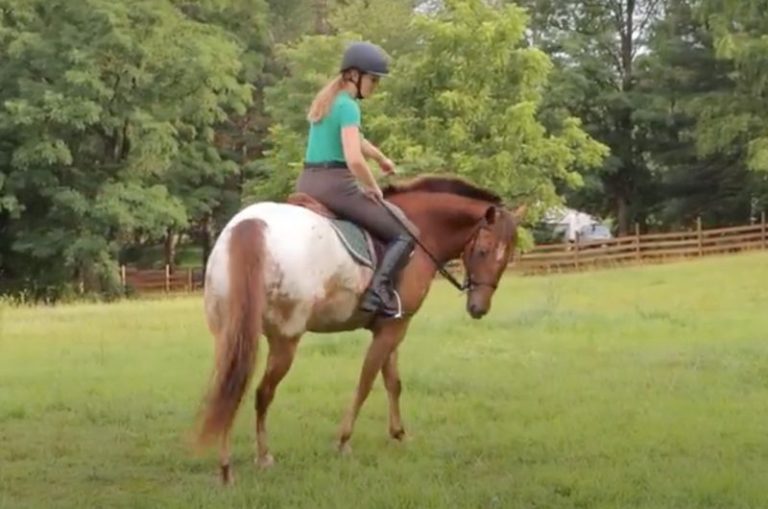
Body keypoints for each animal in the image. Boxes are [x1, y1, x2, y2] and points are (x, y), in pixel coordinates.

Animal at [195, 174, 526, 484]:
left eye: (508, 254)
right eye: (483, 251)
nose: (479, 308)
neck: (420, 233)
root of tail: (250, 225)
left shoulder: (391, 325)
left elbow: (393, 382)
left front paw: (399, 434)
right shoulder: (395, 328)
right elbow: (367, 382)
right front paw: (344, 441)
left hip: (231, 336)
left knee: (228, 390)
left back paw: (225, 468)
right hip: (285, 340)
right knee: (261, 393)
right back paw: (261, 457)